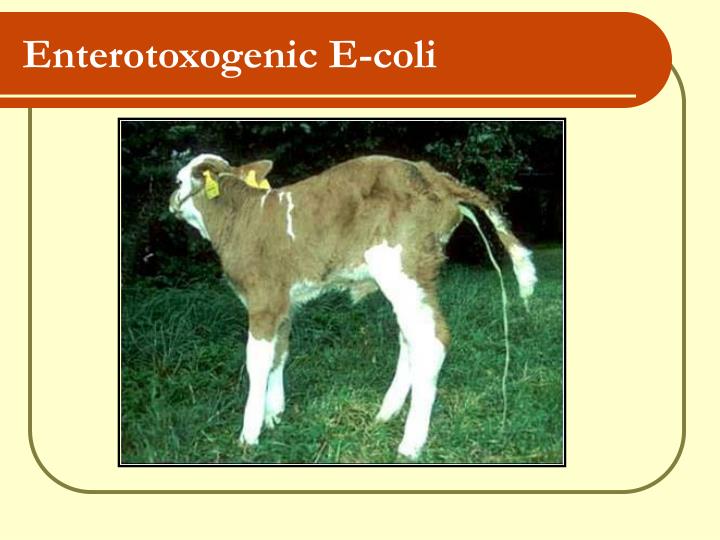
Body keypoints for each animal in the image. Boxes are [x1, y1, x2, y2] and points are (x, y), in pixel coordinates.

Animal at [169, 153, 536, 459]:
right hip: (414, 276)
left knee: (431, 340)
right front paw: (274, 414)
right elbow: (279, 355)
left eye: (179, 180)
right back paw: (387, 413)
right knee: (410, 338)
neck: (243, 217)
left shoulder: (264, 300)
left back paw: (411, 442)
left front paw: (249, 434)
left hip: (402, 265)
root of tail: (433, 175)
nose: (170, 201)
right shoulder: (284, 303)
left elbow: (257, 362)